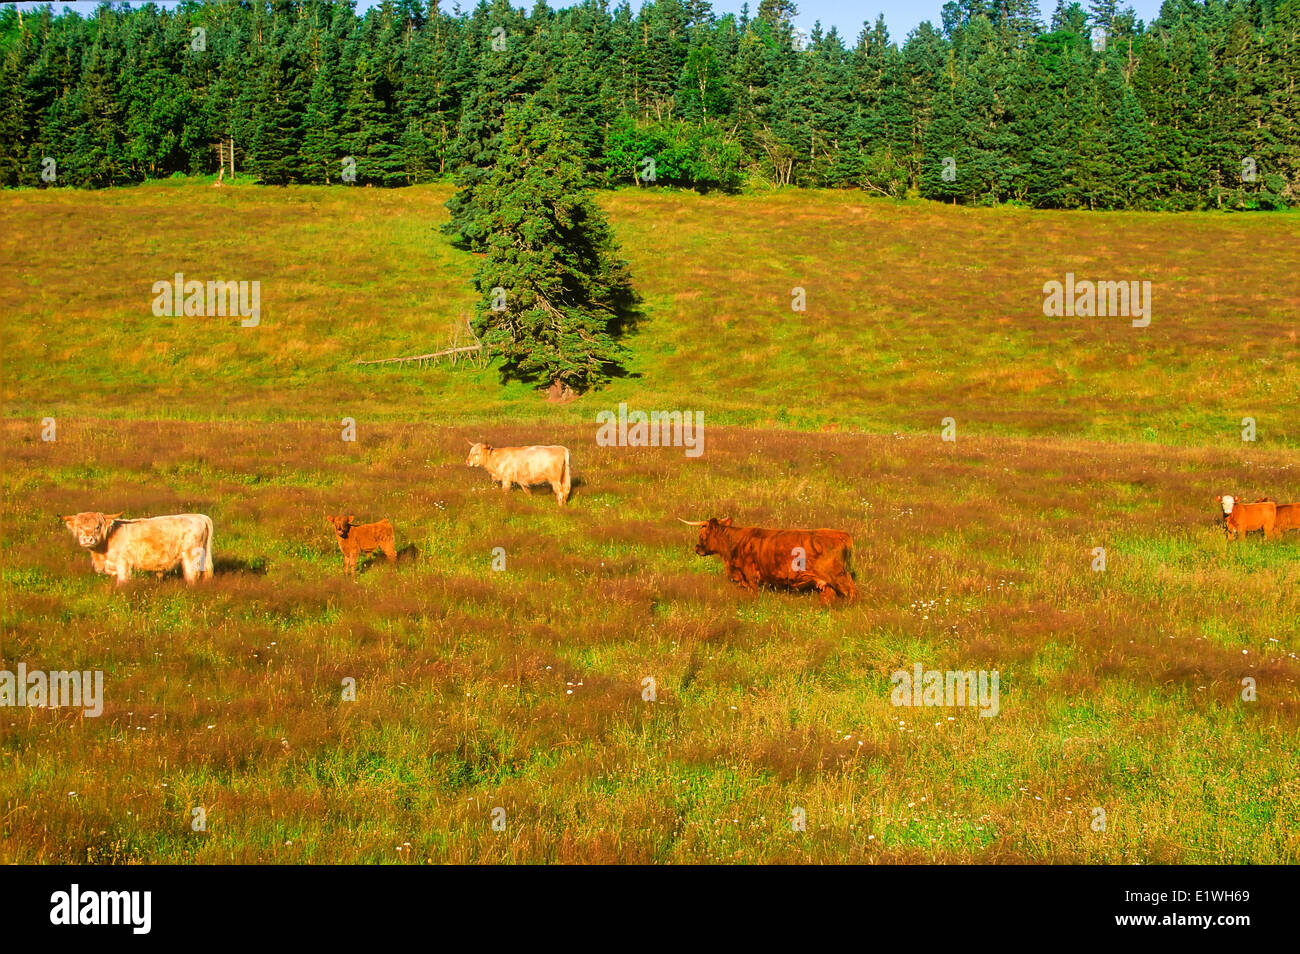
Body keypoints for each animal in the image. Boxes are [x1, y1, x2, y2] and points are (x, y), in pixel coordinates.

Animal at [61, 511, 214, 585]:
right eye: (79, 527)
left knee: (192, 576)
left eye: (98, 526)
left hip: (191, 556)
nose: (87, 539)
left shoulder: (123, 563)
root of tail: (199, 516)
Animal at [678, 516, 856, 605]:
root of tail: (842, 535)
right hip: (826, 582)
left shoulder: (750, 576)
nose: (697, 548)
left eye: (702, 534)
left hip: (839, 576)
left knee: (851, 592)